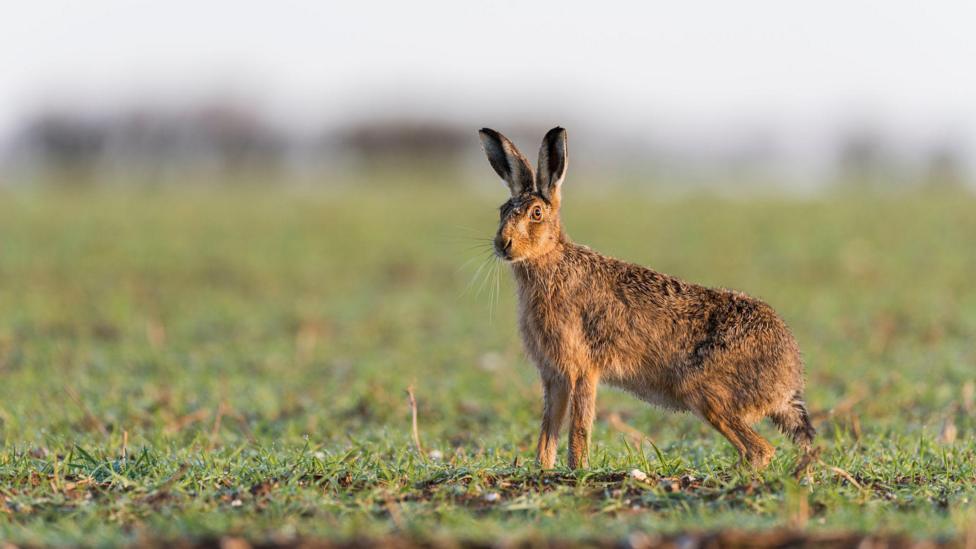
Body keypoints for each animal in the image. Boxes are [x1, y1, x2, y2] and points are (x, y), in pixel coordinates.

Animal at [477, 127, 814, 470]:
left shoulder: (582, 369)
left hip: (707, 394)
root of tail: (788, 377)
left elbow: (579, 427)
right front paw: (543, 469)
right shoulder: (554, 375)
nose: (503, 244)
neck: (550, 262)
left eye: (536, 213)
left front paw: (577, 469)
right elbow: (548, 431)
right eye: (502, 211)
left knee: (760, 450)